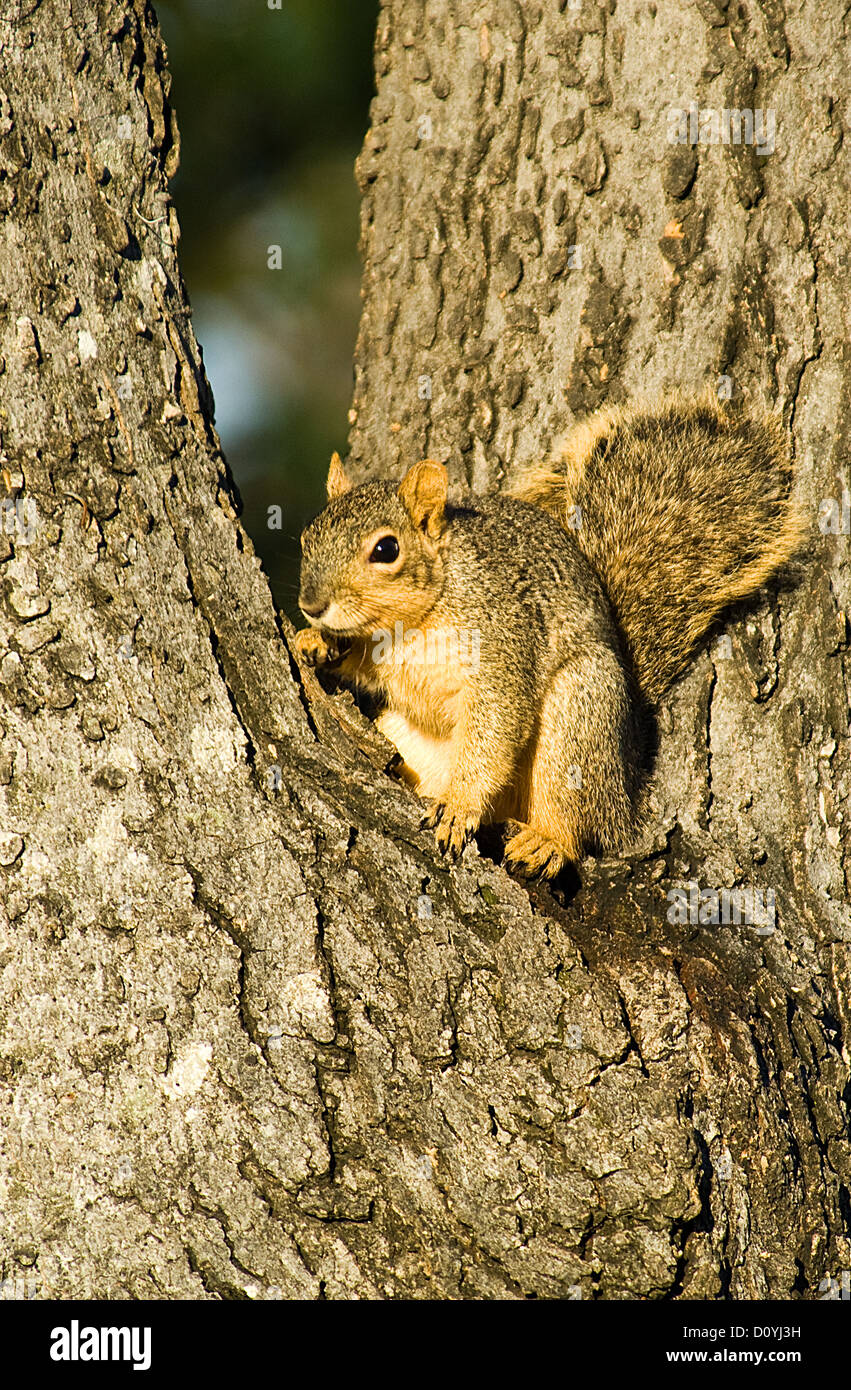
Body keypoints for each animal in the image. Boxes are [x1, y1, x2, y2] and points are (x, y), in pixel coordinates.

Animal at [294, 390, 804, 878]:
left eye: (386, 549)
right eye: (306, 536)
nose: (311, 605)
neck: (408, 623)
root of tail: (624, 783)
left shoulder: (501, 641)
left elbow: (496, 725)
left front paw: (459, 808)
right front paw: (316, 642)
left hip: (577, 716)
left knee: (576, 820)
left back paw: (546, 842)